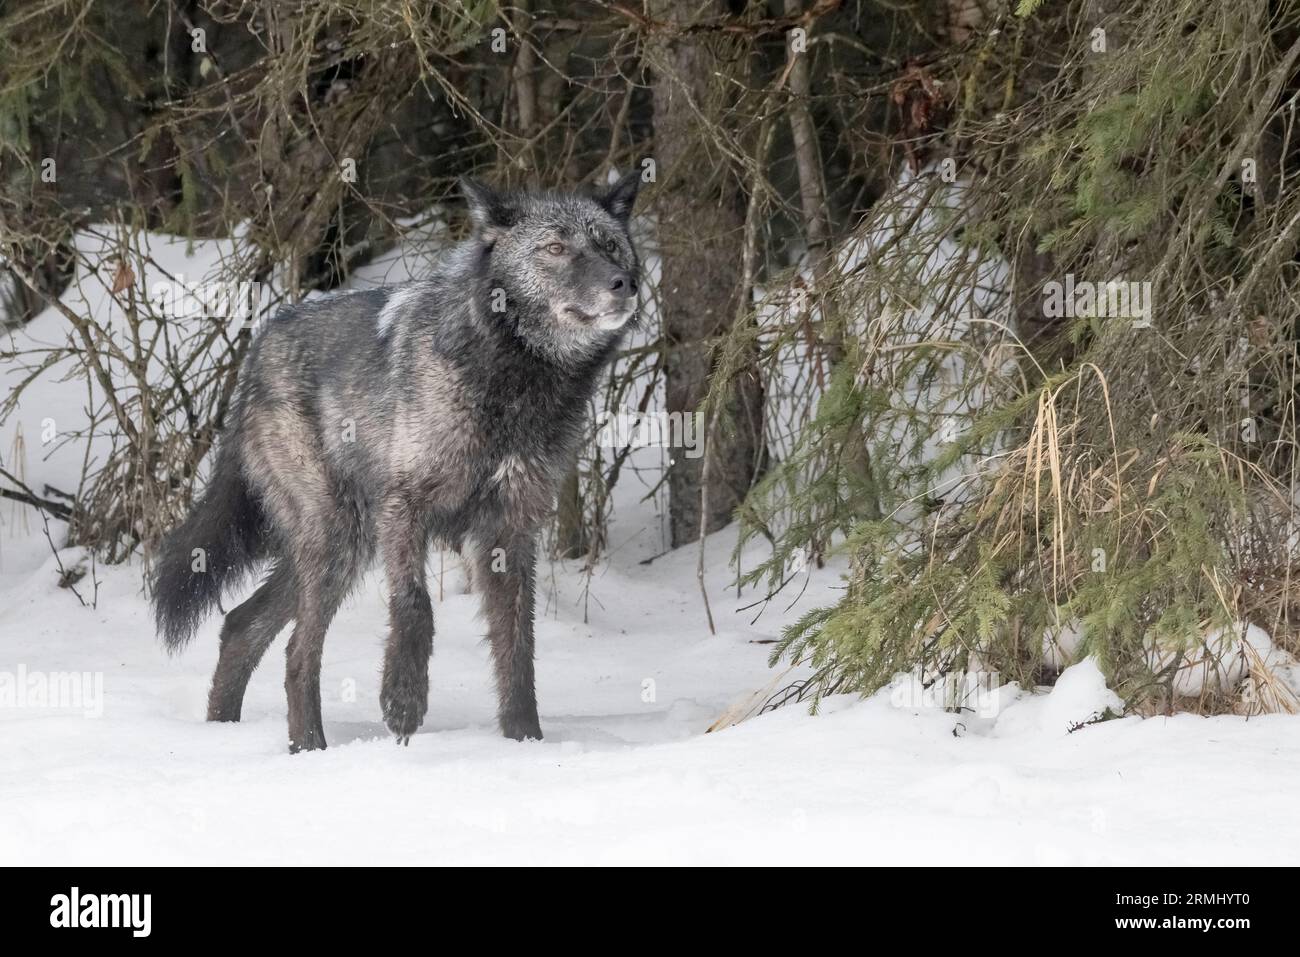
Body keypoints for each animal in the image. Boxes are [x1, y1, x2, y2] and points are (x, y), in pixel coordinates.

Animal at [151, 172, 642, 752]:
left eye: (610, 245)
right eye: (555, 248)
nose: (624, 283)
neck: (513, 377)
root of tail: (257, 350)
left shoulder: (509, 530)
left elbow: (518, 648)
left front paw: (525, 741)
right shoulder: (404, 508)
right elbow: (415, 606)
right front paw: (403, 703)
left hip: (343, 545)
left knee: (240, 626)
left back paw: (227, 732)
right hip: (340, 540)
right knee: (297, 652)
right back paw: (309, 749)